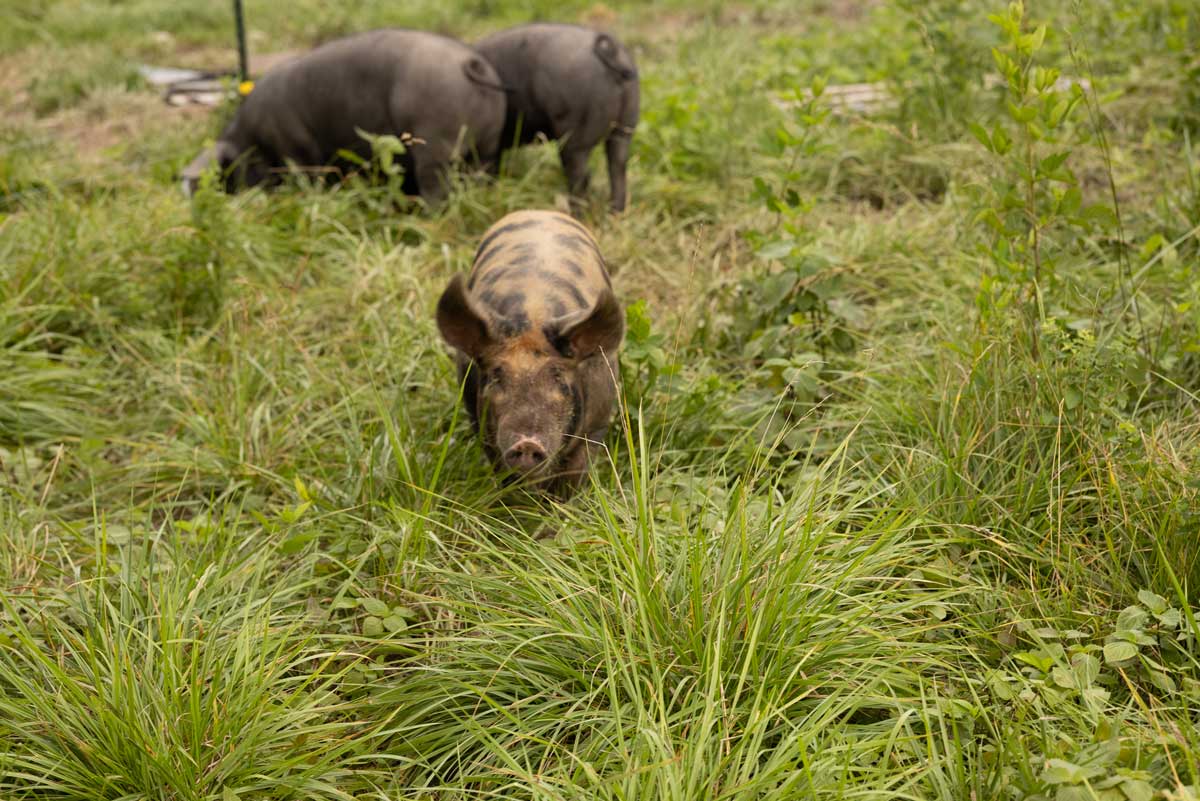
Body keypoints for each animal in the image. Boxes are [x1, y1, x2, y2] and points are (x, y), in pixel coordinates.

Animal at [181, 29, 506, 204]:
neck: (248, 139)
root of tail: (471, 62)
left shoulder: (295, 148)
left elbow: (305, 175)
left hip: (434, 139)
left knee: (436, 184)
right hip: (487, 144)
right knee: (482, 171)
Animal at [436, 210, 625, 495]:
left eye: (559, 378)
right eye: (496, 376)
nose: (527, 443)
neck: (533, 316)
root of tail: (541, 212)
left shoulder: (596, 425)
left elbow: (572, 476)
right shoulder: (483, 429)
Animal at [475, 24, 639, 213]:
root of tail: (611, 51)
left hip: (575, 138)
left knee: (581, 175)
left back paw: (575, 213)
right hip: (624, 129)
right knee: (617, 167)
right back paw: (614, 212)